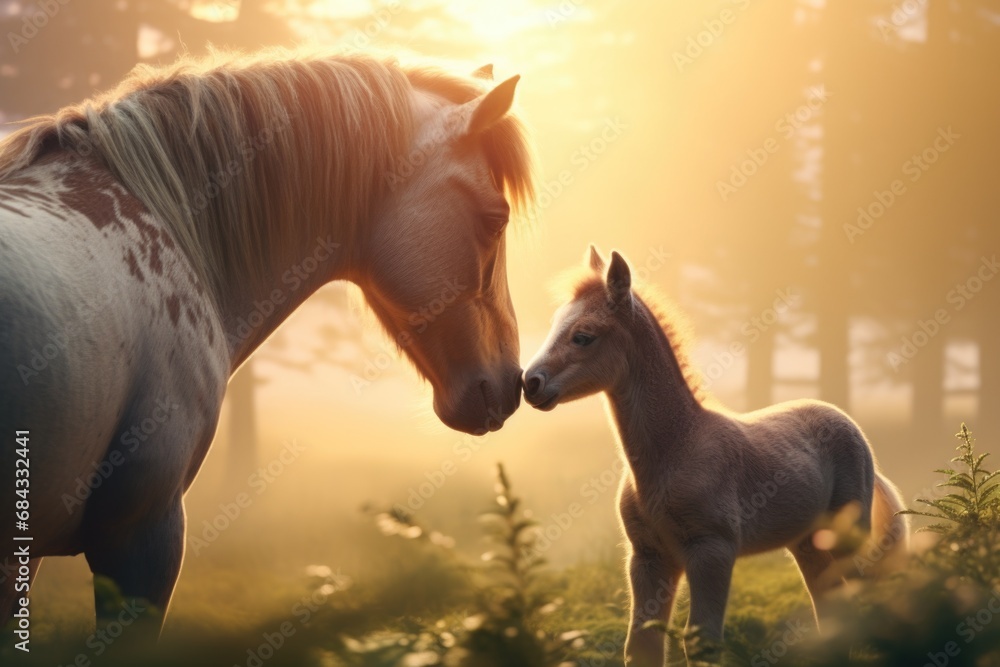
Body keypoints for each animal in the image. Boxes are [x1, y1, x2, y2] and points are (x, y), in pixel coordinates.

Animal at [522, 247, 909, 666]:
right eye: (555, 323)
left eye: (584, 336)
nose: (530, 383)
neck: (675, 449)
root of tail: (849, 424)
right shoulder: (648, 557)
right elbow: (641, 644)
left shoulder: (712, 550)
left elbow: (701, 639)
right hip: (808, 544)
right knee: (828, 608)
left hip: (846, 536)